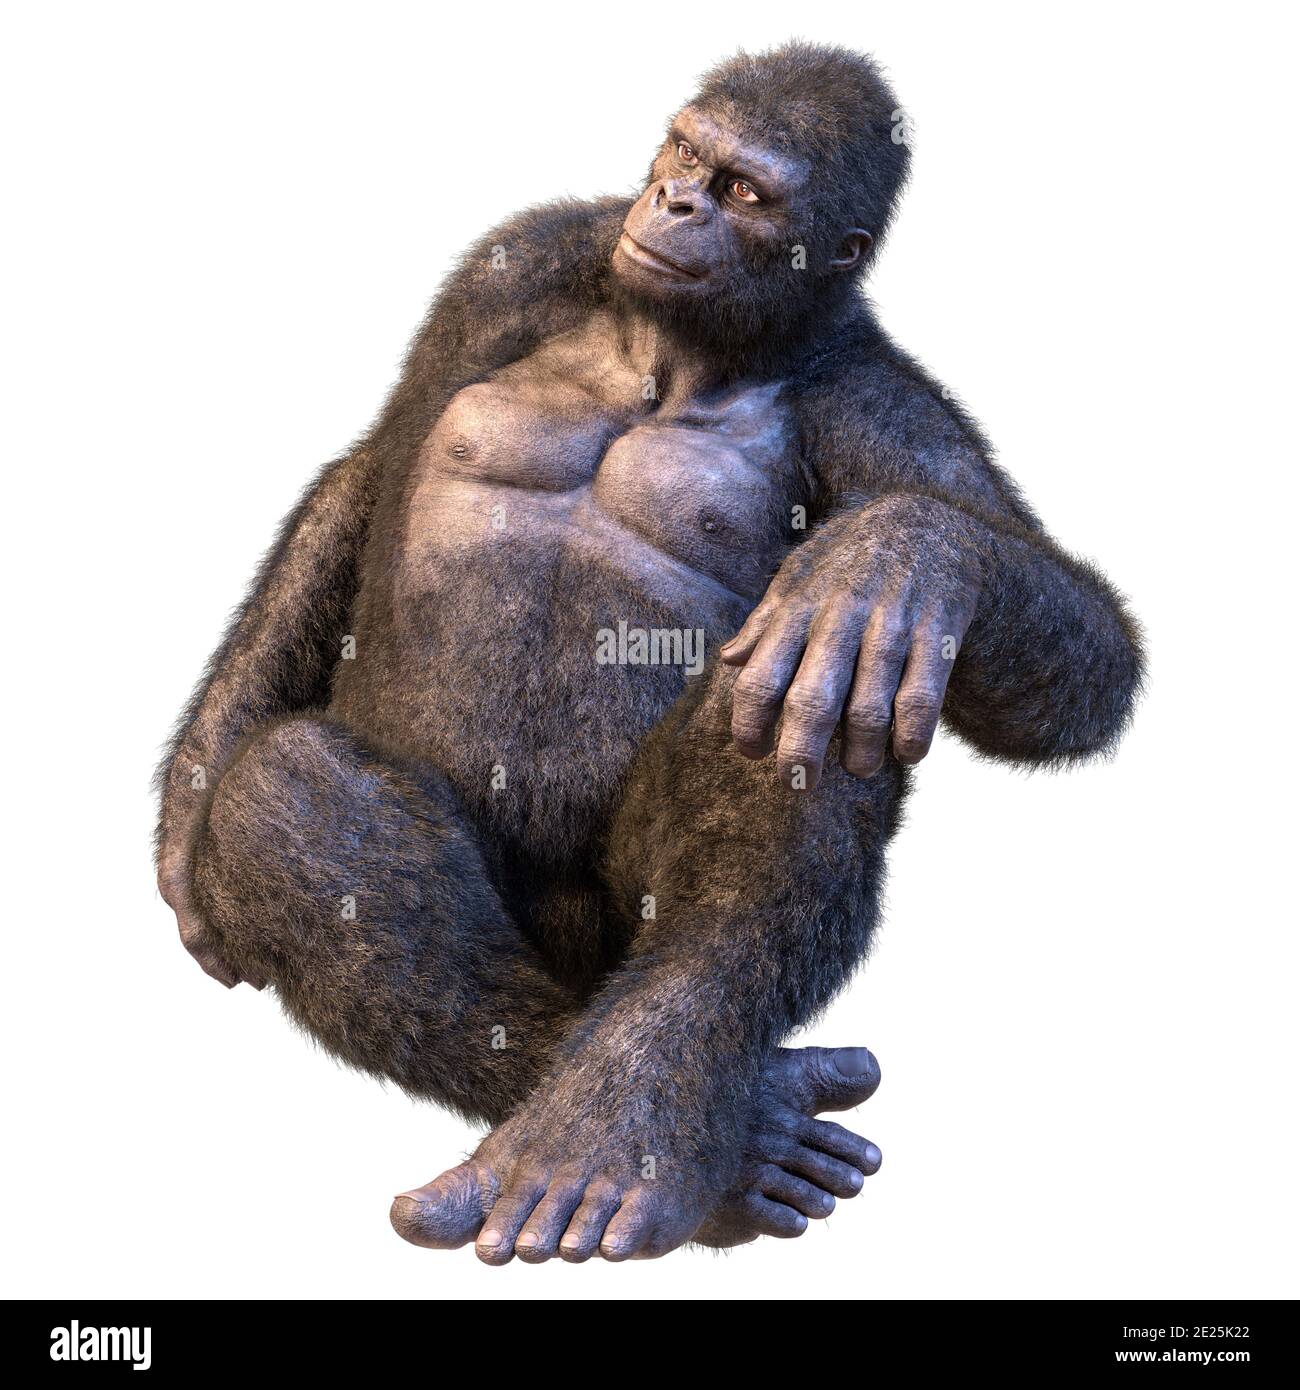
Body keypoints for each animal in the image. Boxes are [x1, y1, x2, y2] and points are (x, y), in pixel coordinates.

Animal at [156, 42, 1143, 1264]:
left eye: (746, 192)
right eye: (685, 150)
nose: (674, 202)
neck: (692, 352)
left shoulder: (889, 417)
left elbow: (1068, 655)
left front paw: (910, 553)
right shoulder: (519, 263)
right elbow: (374, 467)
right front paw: (189, 803)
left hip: (618, 924)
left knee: (808, 703)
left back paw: (624, 1132)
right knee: (297, 796)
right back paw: (724, 1142)